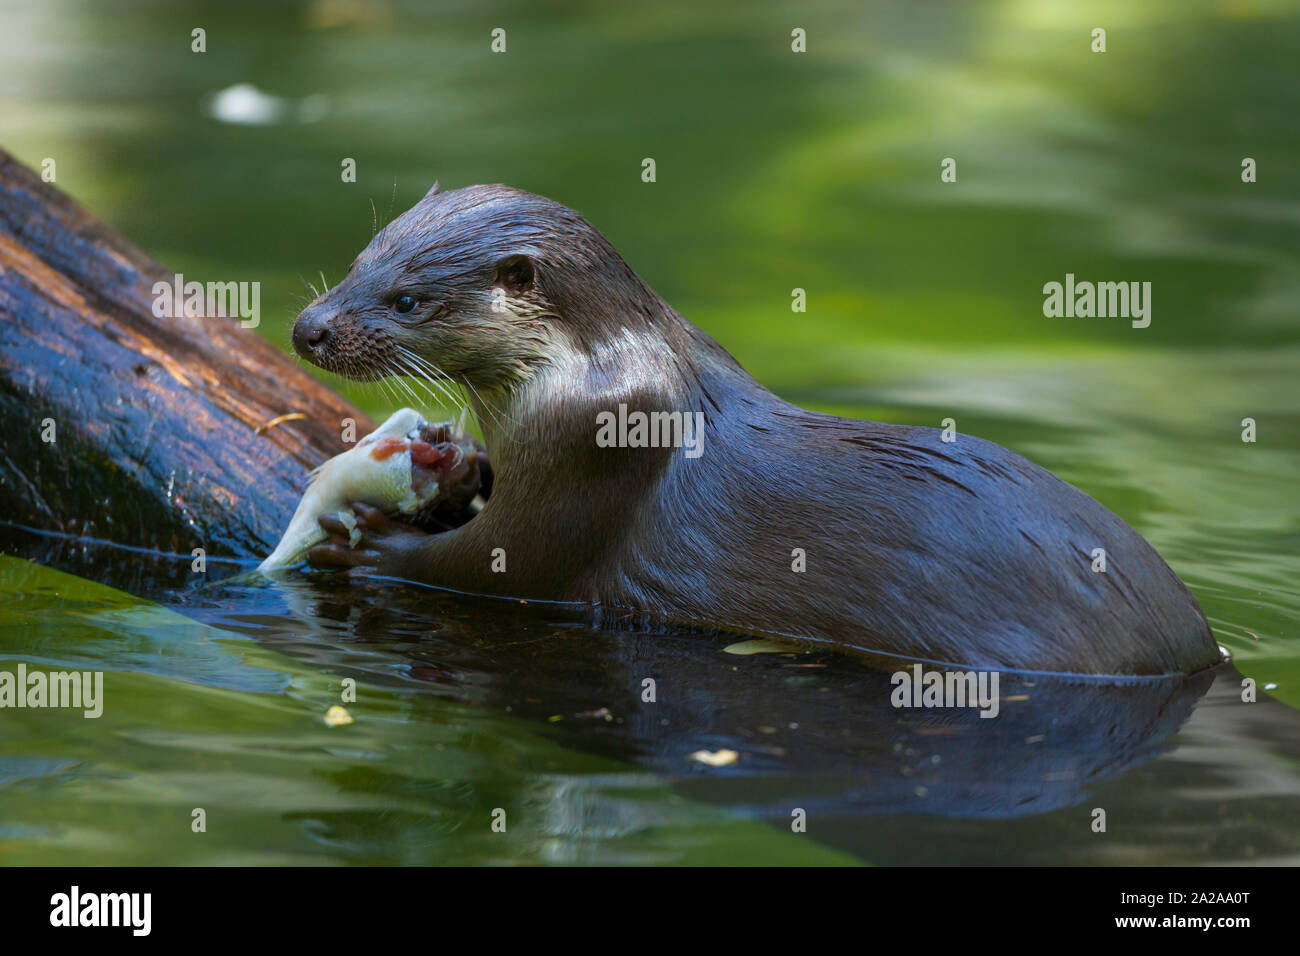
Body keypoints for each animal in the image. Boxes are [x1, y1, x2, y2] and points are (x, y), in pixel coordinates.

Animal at [291, 184, 1220, 677]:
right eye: (358, 262)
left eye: (408, 299)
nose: (308, 328)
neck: (603, 376)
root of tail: (1199, 653)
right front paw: (452, 460)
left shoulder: (595, 450)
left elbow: (501, 562)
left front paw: (366, 543)